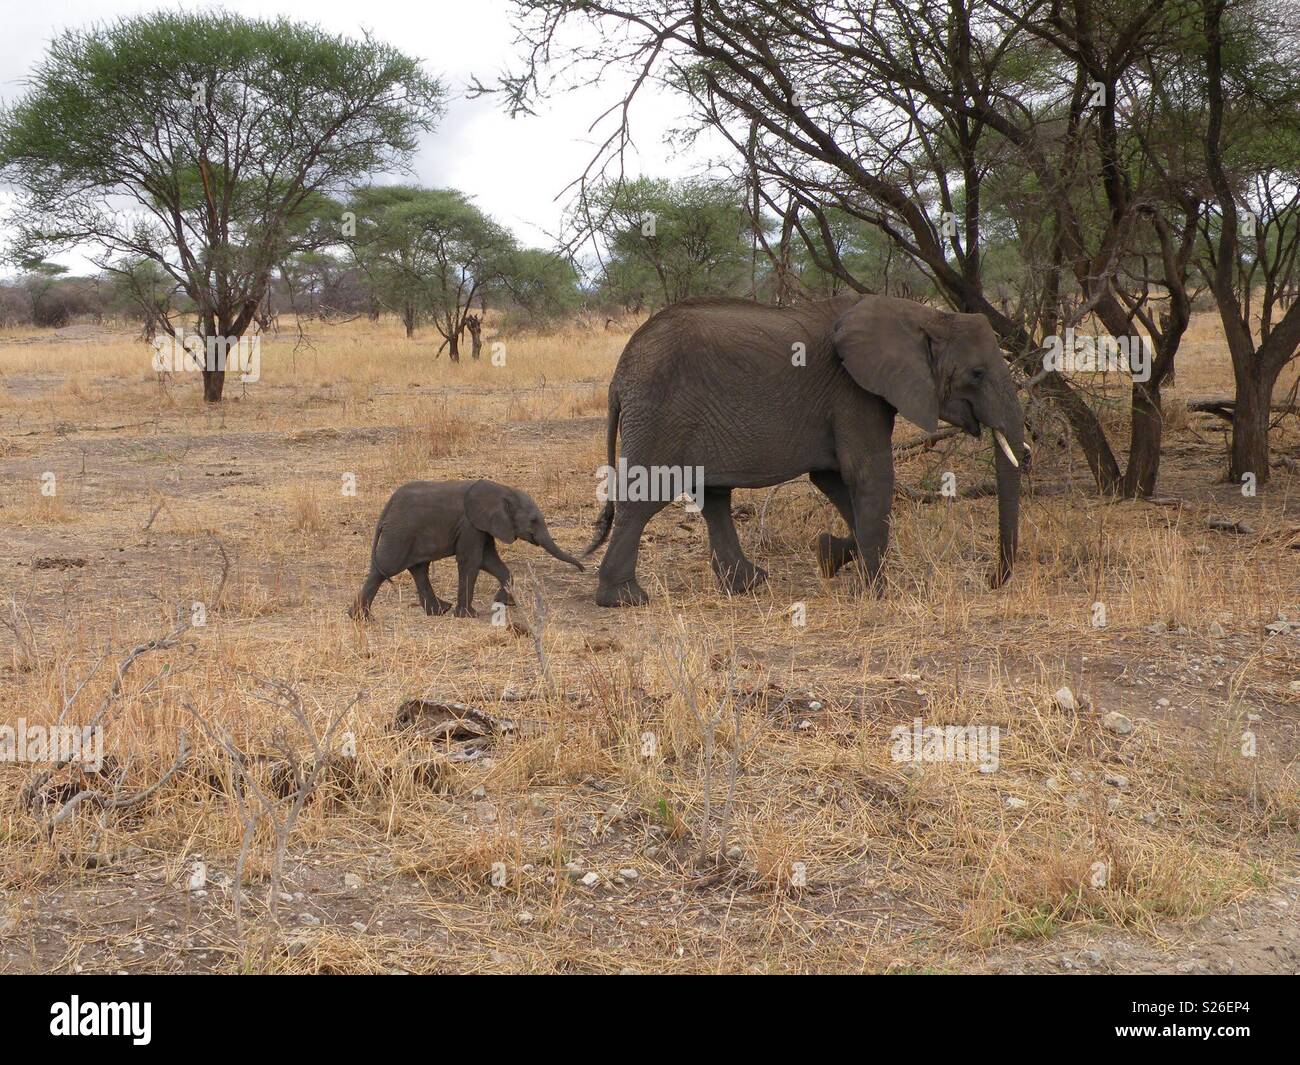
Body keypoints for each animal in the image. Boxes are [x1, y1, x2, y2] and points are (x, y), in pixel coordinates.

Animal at [349, 479, 584, 619]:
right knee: (384, 569)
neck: (502, 490)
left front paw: (501, 603)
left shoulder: (482, 526)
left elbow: (488, 560)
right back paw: (361, 618)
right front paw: (468, 615)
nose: (583, 568)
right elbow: (472, 560)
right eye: (533, 521)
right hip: (400, 533)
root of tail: (388, 506)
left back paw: (439, 611)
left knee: (418, 569)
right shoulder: (470, 525)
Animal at [583, 293, 1027, 607]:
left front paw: (829, 554)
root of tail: (619, 376)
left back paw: (749, 585)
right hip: (660, 415)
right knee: (647, 496)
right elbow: (870, 475)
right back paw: (624, 600)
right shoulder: (853, 392)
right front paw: (873, 592)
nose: (991, 581)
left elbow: (834, 480)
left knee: (713, 496)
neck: (924, 316)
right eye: (977, 373)